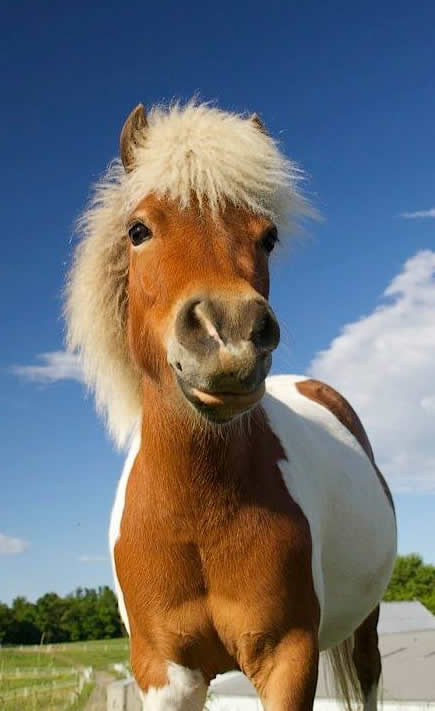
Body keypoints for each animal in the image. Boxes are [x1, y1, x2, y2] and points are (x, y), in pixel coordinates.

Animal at [65, 101, 397, 711]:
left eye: (268, 238)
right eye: (138, 230)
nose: (230, 334)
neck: (198, 512)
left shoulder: (286, 659)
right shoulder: (165, 675)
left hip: (365, 624)